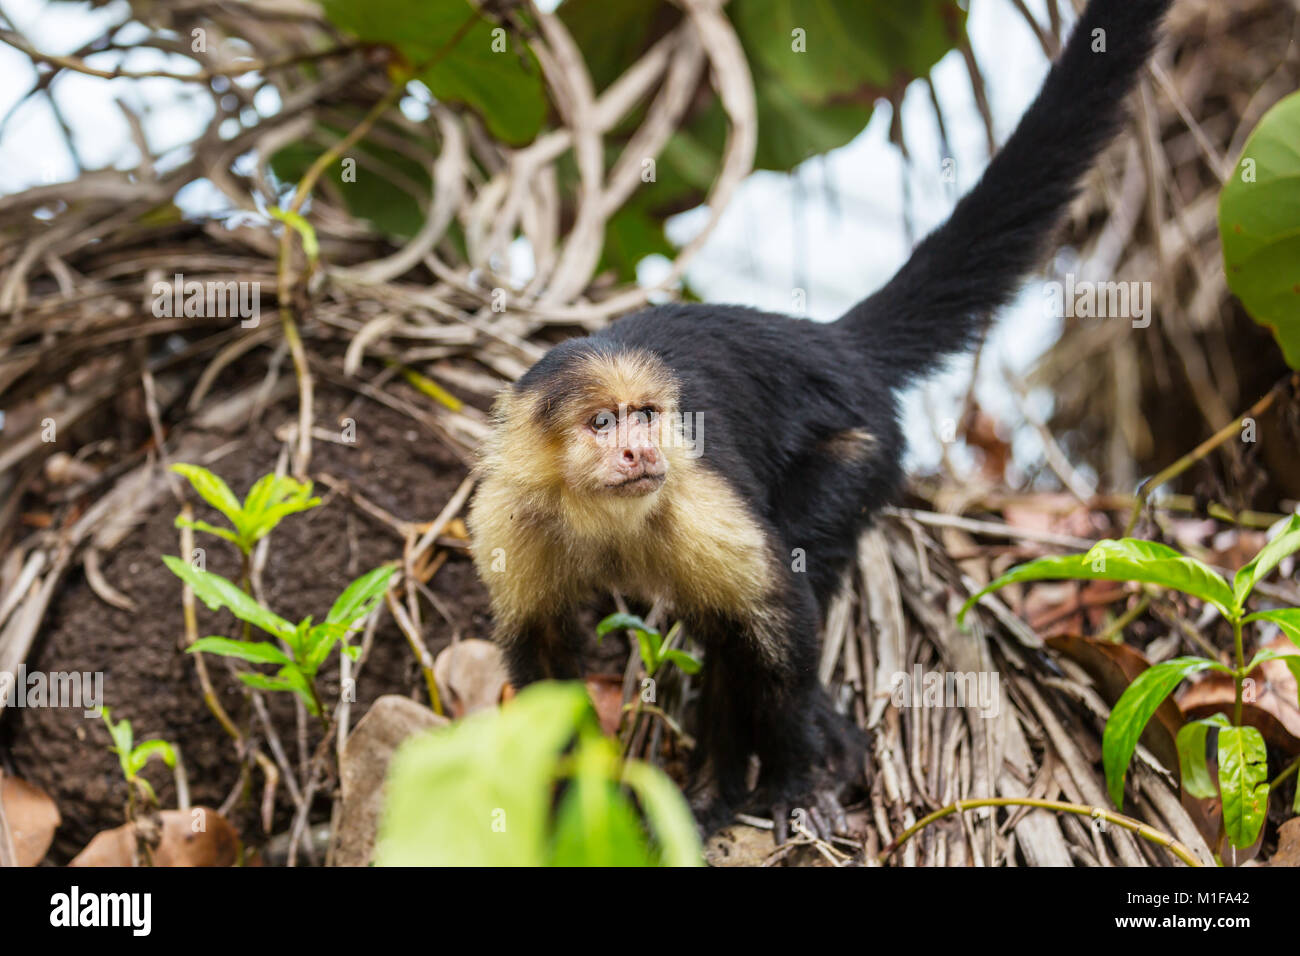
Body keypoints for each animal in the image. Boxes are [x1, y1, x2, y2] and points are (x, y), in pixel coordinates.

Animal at [468, 0, 1173, 842]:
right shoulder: (512, 519)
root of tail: (831, 343)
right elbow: (543, 662)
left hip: (863, 444)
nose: (640, 450)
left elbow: (776, 621)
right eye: (603, 423)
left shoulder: (694, 500)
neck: (600, 513)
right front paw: (561, 803)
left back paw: (744, 777)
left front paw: (795, 779)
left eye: (644, 416)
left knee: (770, 592)